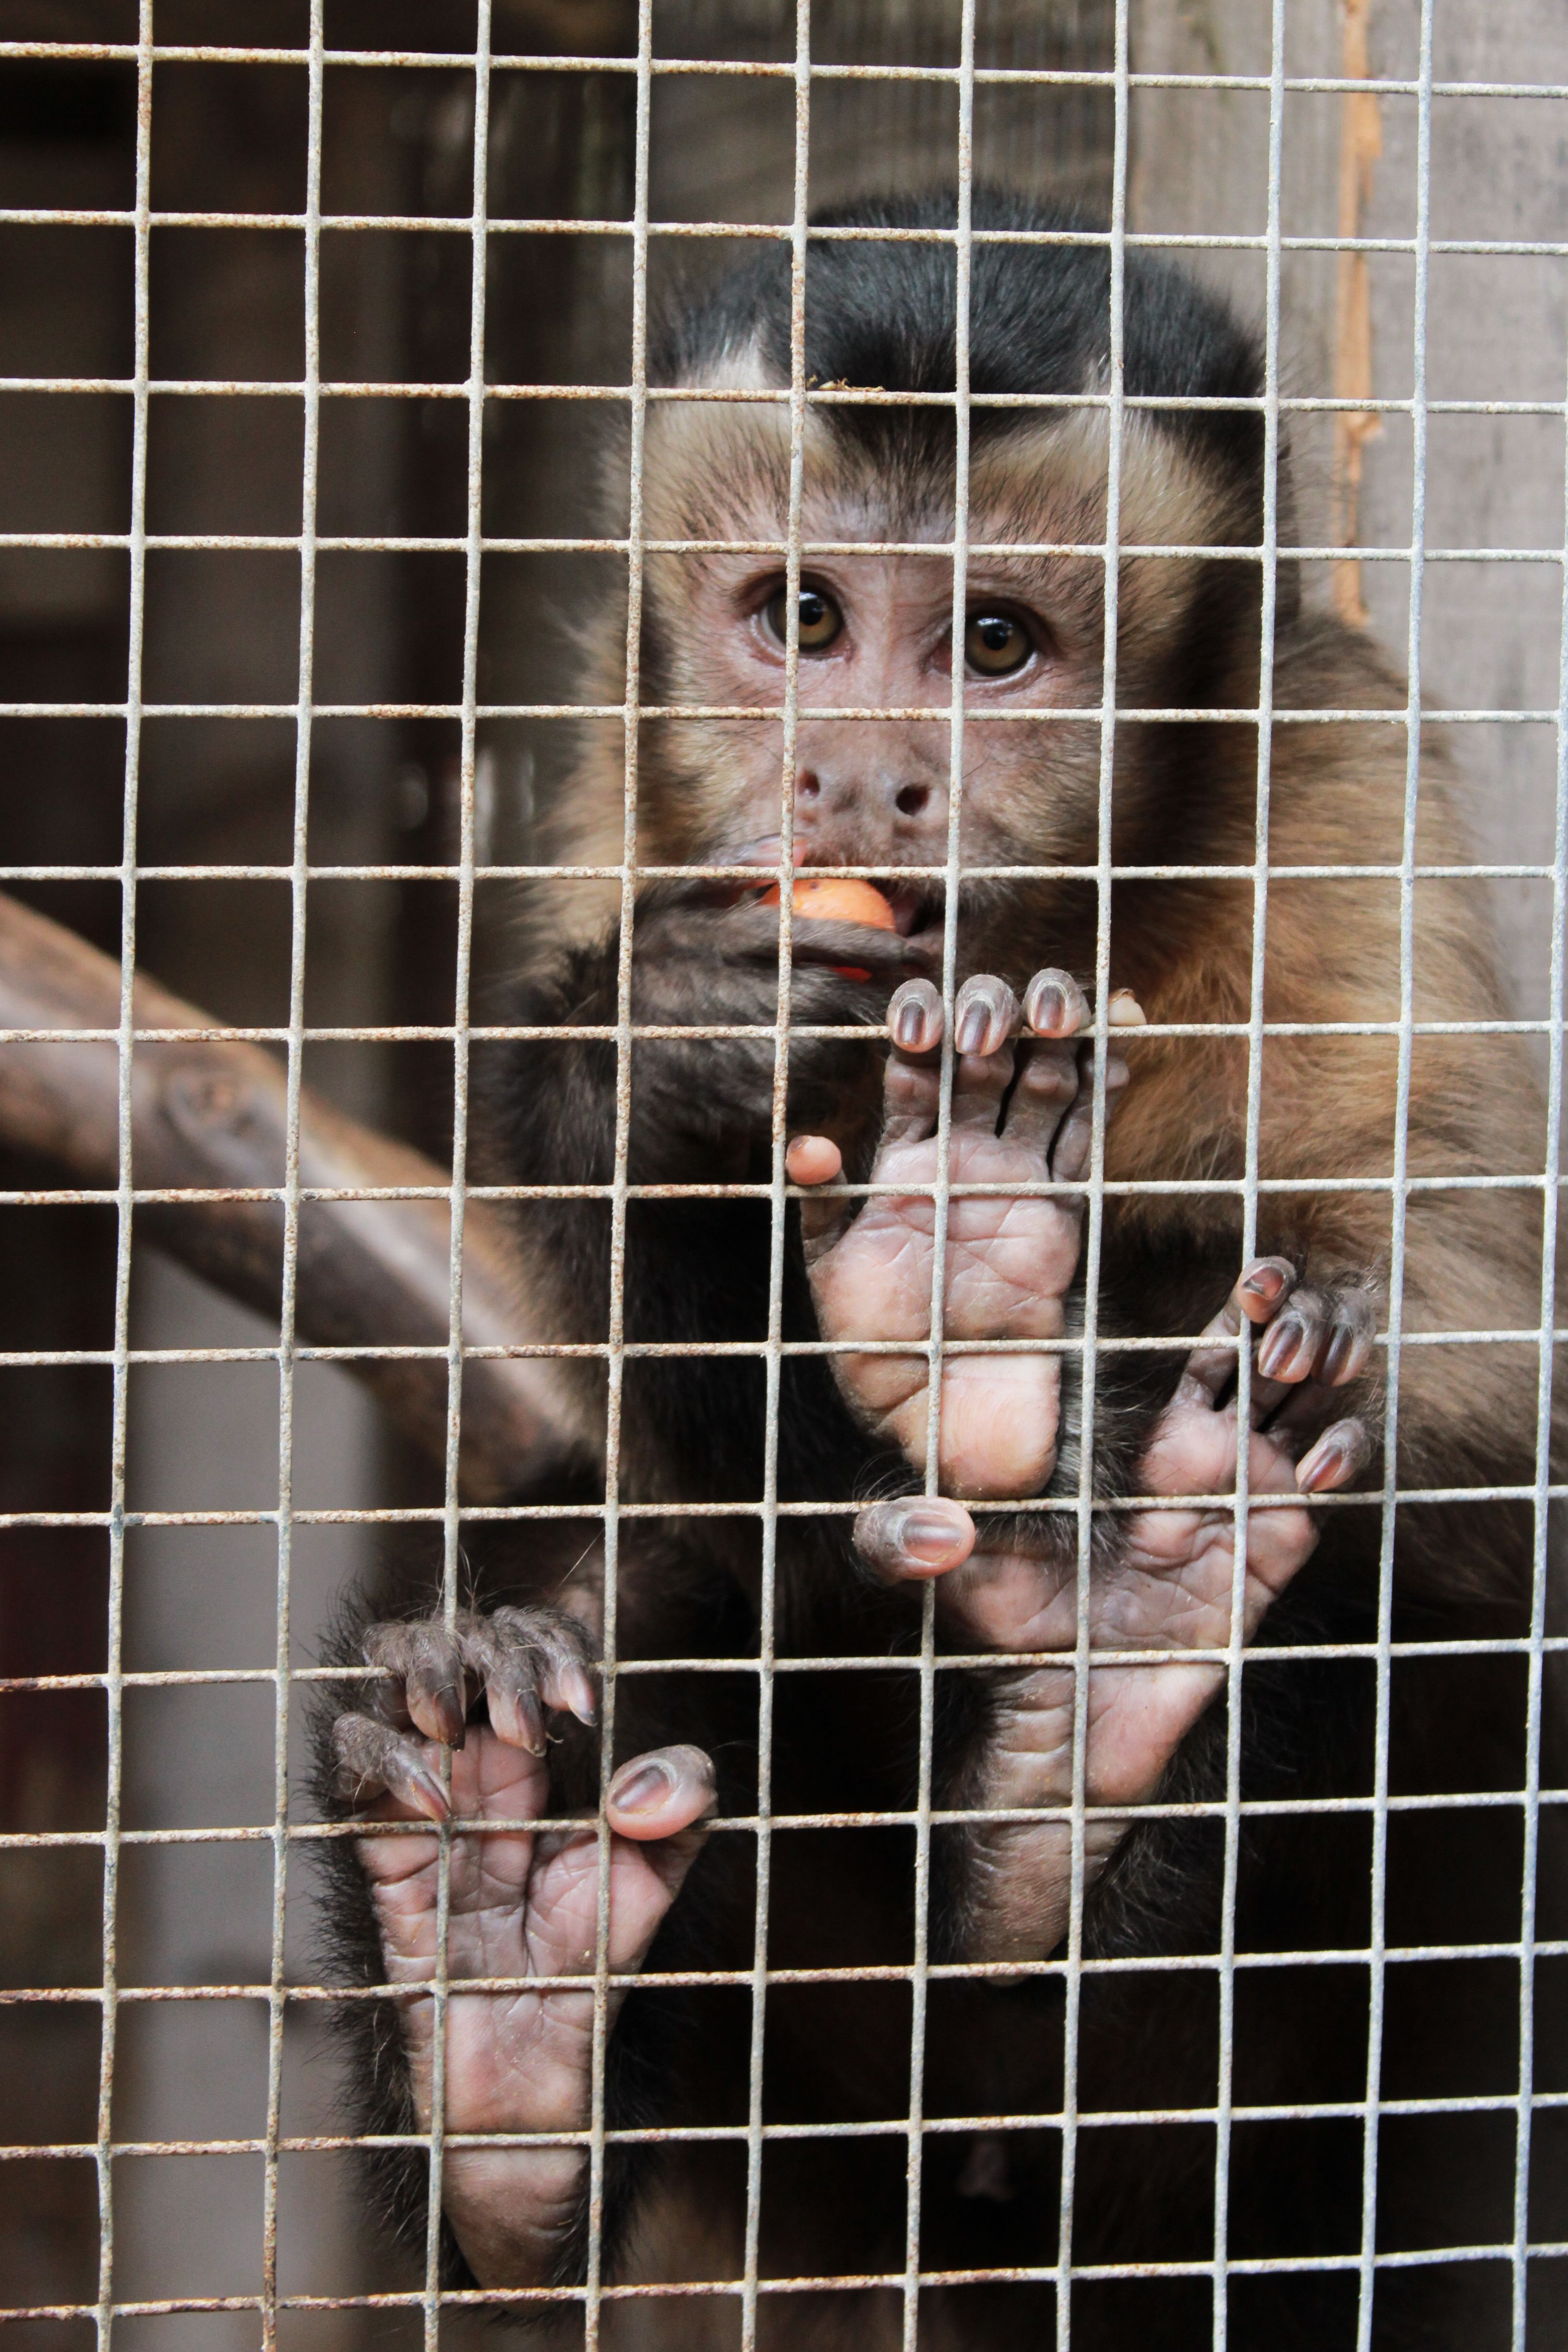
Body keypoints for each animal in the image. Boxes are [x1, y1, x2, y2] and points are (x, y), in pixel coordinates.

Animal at [313, 190, 1565, 2350]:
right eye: (801, 621)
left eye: (992, 645)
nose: (859, 780)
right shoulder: (632, 786)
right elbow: (627, 1407)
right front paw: (658, 1077)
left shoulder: (1341, 772)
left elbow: (1466, 1322)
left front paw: (996, 1324)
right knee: (630, 1573)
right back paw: (502, 2029)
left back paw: (1087, 1743)